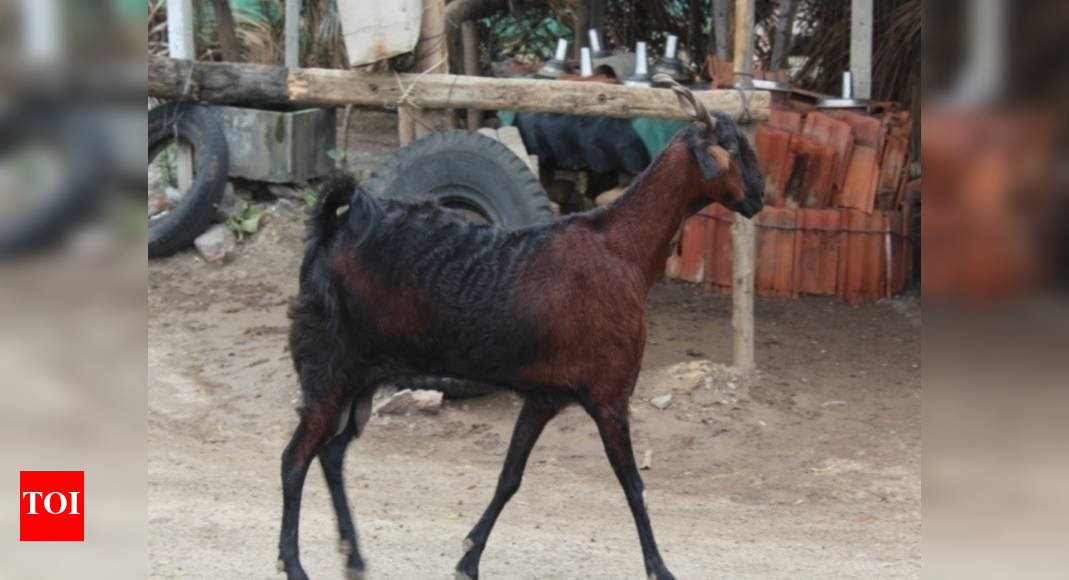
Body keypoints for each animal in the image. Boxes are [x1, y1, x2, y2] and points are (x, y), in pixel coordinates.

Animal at [278, 78, 764, 580]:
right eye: (733, 146)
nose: (759, 195)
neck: (623, 250)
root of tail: (331, 228)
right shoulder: (609, 394)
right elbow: (632, 485)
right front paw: (659, 567)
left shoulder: (543, 396)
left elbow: (509, 477)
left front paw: (469, 555)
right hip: (329, 365)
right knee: (295, 459)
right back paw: (294, 563)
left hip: (363, 374)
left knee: (331, 453)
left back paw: (353, 555)